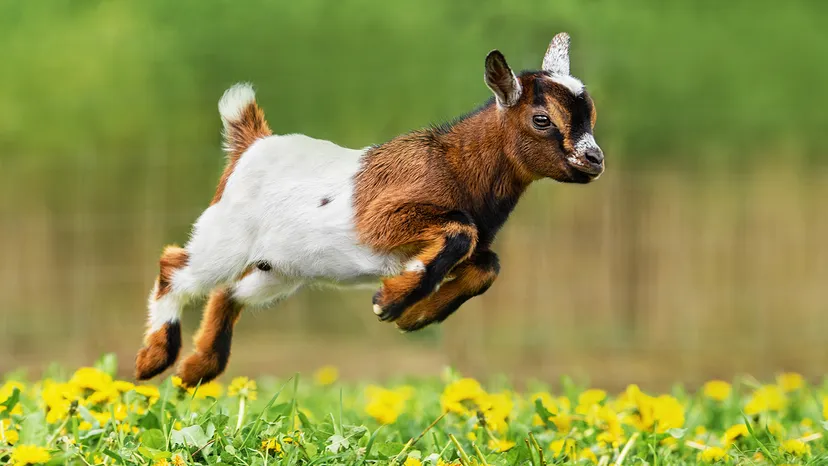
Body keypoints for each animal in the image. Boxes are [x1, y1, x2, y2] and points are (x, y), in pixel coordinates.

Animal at [135, 33, 604, 386]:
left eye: (592, 116)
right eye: (542, 119)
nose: (594, 160)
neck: (453, 164)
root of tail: (251, 142)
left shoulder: (469, 245)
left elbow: (488, 264)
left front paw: (413, 315)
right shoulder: (383, 219)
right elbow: (461, 232)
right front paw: (390, 302)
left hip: (279, 269)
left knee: (227, 292)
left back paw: (195, 371)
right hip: (226, 239)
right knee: (174, 266)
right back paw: (154, 360)